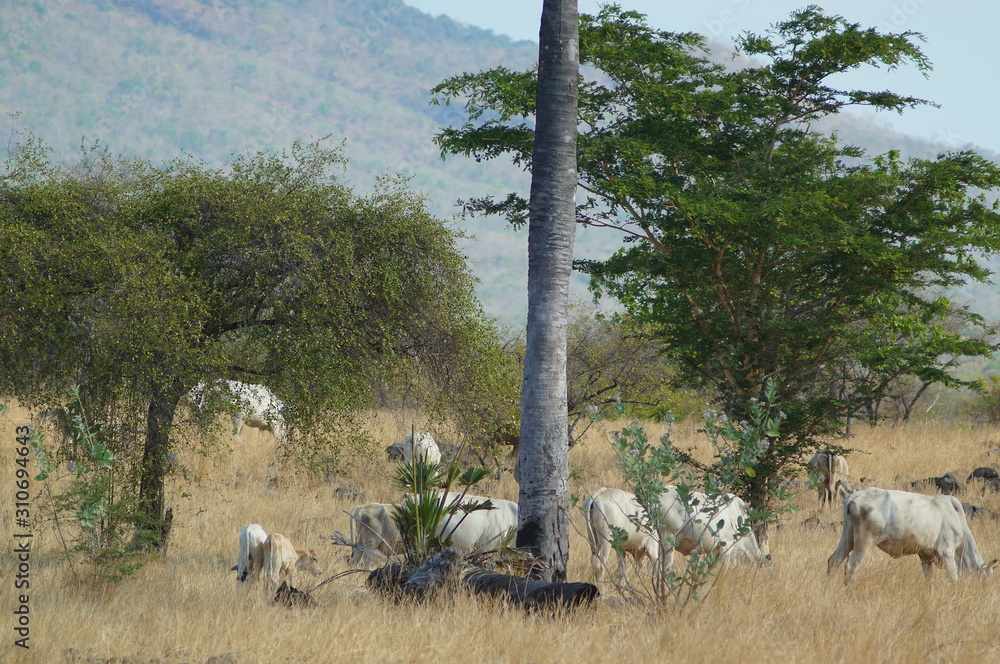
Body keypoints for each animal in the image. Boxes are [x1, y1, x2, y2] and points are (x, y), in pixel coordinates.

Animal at [827, 487, 996, 583]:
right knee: (851, 566)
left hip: (847, 537)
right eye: (985, 581)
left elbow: (930, 580)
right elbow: (953, 578)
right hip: (864, 541)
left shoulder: (925, 557)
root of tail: (853, 497)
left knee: (834, 560)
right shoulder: (947, 552)